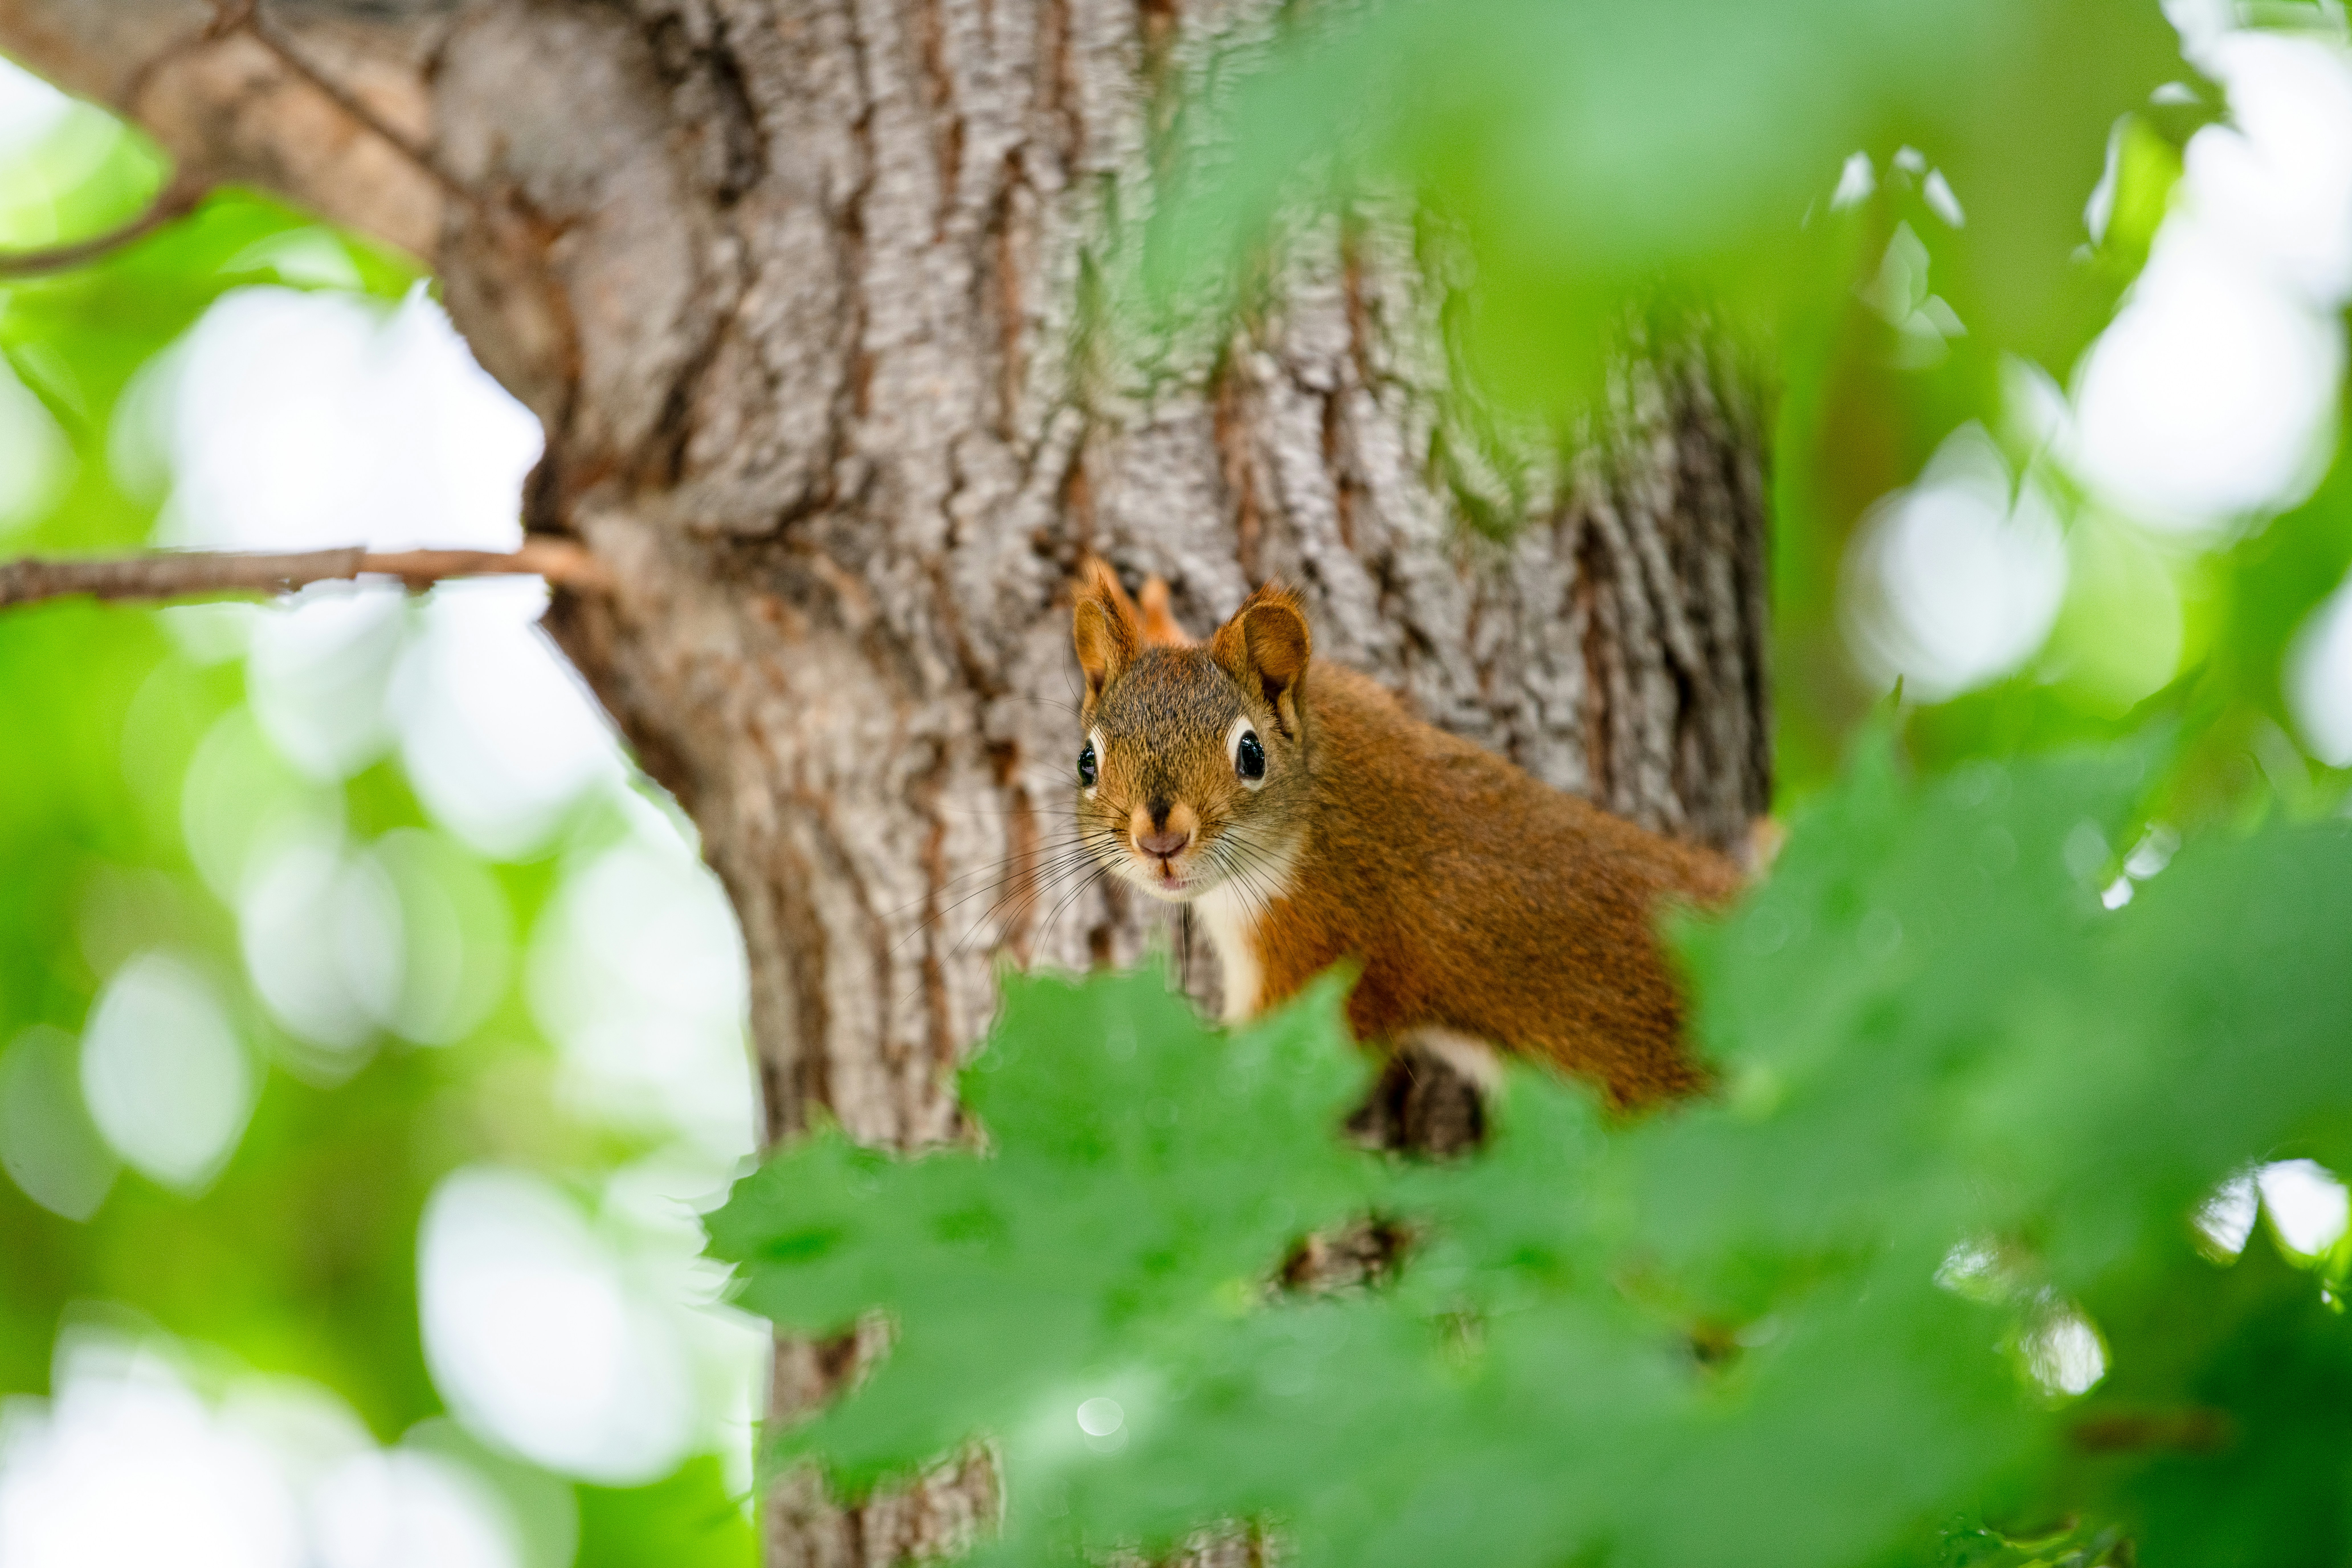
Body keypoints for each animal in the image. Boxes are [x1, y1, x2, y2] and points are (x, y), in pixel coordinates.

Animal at [1069, 559, 1741, 1112]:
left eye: (1252, 755)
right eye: (1087, 761)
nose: (1159, 841)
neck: (1320, 800)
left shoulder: (1324, 952)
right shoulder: (1352, 689)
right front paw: (1155, 617)